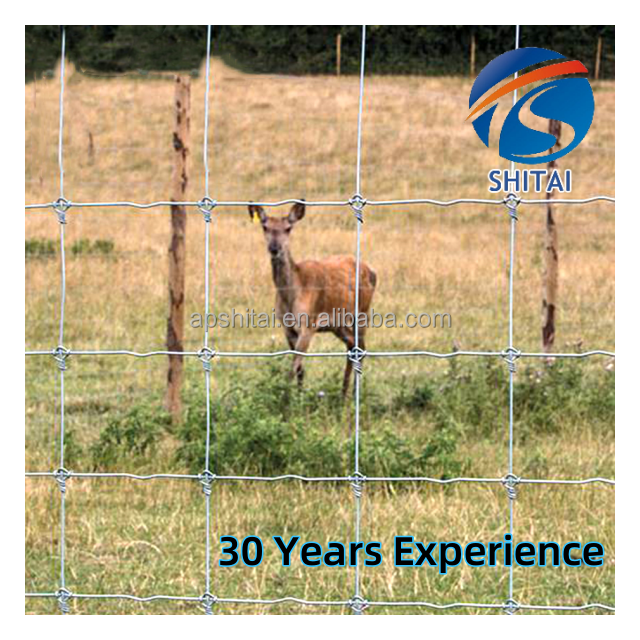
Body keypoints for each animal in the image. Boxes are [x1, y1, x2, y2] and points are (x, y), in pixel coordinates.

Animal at [249, 202, 377, 397]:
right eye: (265, 227)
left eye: (288, 228)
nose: (274, 248)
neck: (292, 294)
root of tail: (372, 272)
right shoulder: (287, 328)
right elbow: (300, 369)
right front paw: (298, 395)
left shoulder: (308, 324)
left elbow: (292, 368)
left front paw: (286, 400)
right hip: (338, 323)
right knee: (352, 346)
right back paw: (343, 394)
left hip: (362, 312)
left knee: (360, 347)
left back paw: (352, 393)